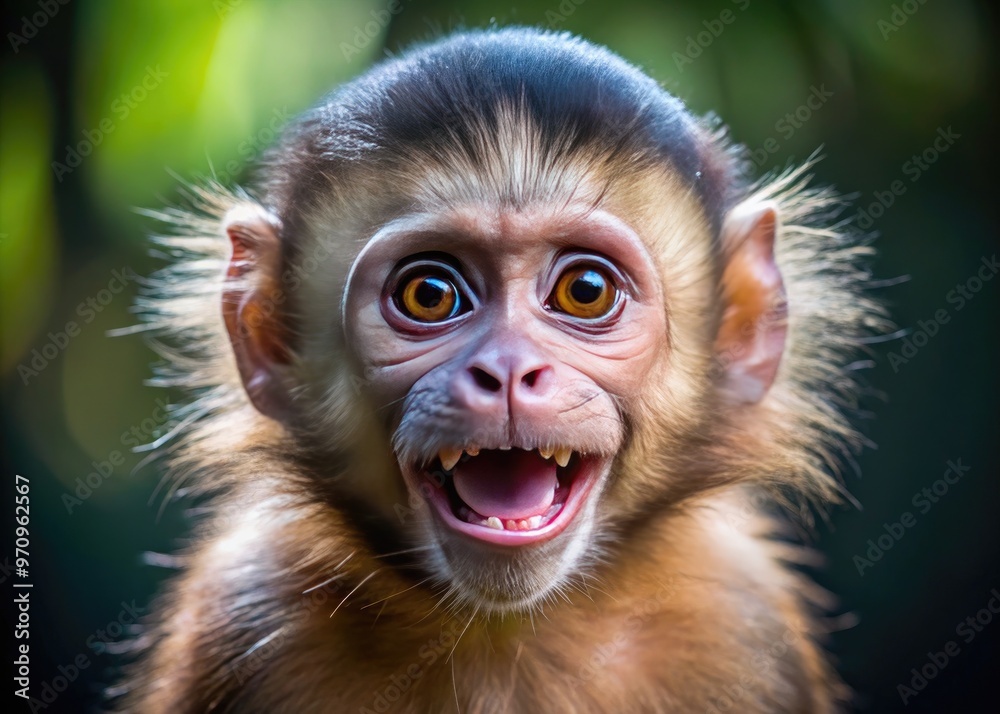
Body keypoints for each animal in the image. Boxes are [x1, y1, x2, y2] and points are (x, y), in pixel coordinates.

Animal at [114, 27, 885, 713]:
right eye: (429, 294)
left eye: (585, 290)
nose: (509, 371)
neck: (505, 631)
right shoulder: (240, 610)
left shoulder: (747, 622)